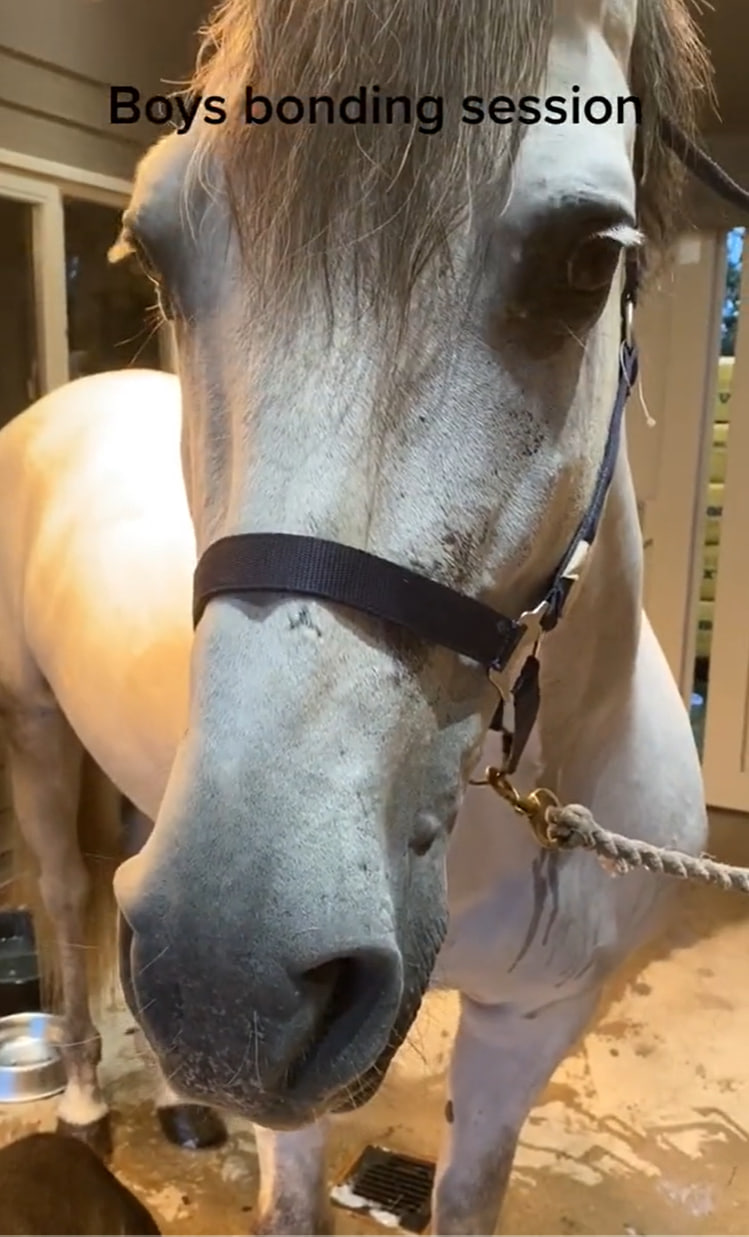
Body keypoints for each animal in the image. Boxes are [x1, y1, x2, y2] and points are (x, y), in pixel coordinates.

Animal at [0, 0, 718, 1231]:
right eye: (155, 250)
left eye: (588, 261)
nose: (225, 983)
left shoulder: (527, 1032)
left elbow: (467, 1195)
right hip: (39, 731)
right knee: (63, 892)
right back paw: (89, 1102)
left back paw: (184, 1106)